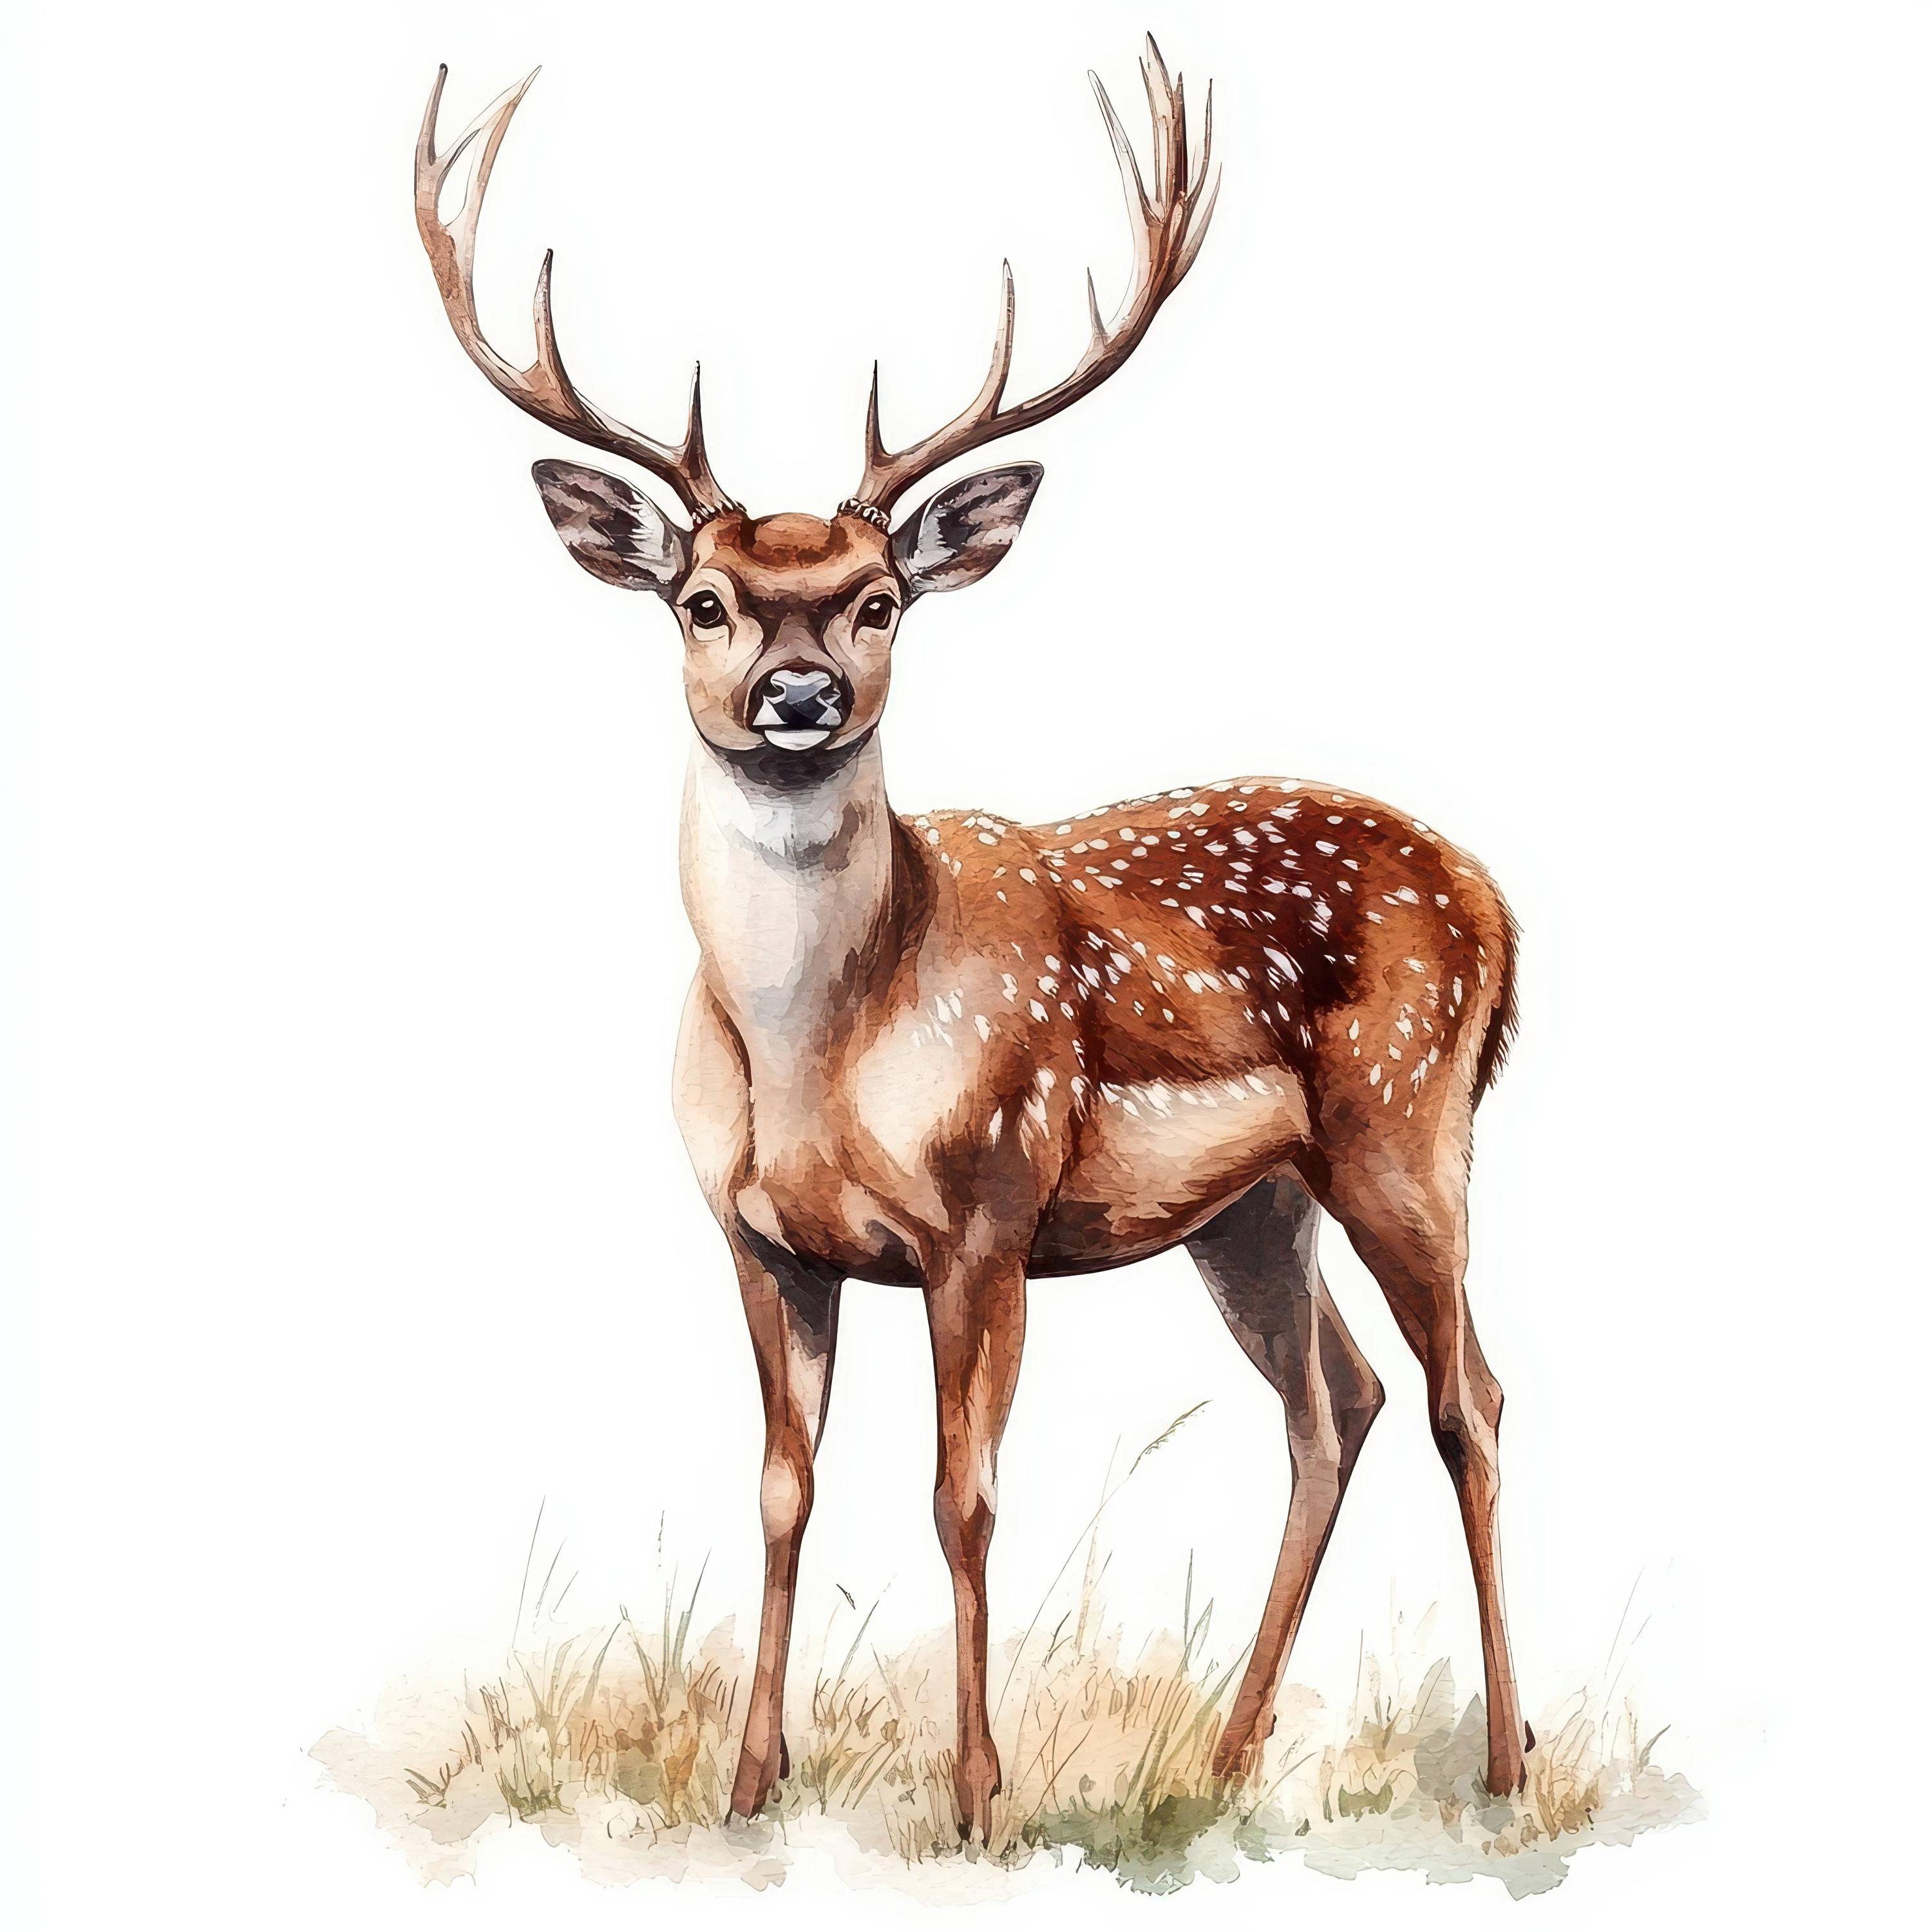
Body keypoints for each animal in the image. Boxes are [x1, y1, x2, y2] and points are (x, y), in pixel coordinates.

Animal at [415, 40, 1529, 1839]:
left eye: (881, 600)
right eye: (703, 602)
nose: (799, 695)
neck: (817, 1052)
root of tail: (1494, 899)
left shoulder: (988, 1208)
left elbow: (964, 1495)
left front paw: (979, 1798)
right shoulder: (756, 1239)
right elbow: (783, 1488)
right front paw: (748, 1785)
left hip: (1406, 1126)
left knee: (1465, 1398)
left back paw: (1505, 1765)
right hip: (1254, 1205)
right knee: (1333, 1403)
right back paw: (1221, 1762)